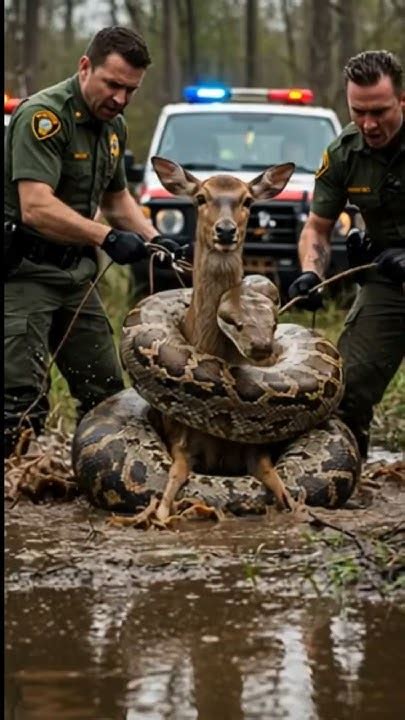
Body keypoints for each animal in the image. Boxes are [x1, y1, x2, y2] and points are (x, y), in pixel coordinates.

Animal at [150, 156, 296, 524]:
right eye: (200, 197)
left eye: (248, 200)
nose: (226, 230)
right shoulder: (180, 438)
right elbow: (173, 481)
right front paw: (159, 514)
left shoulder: (253, 447)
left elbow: (277, 483)